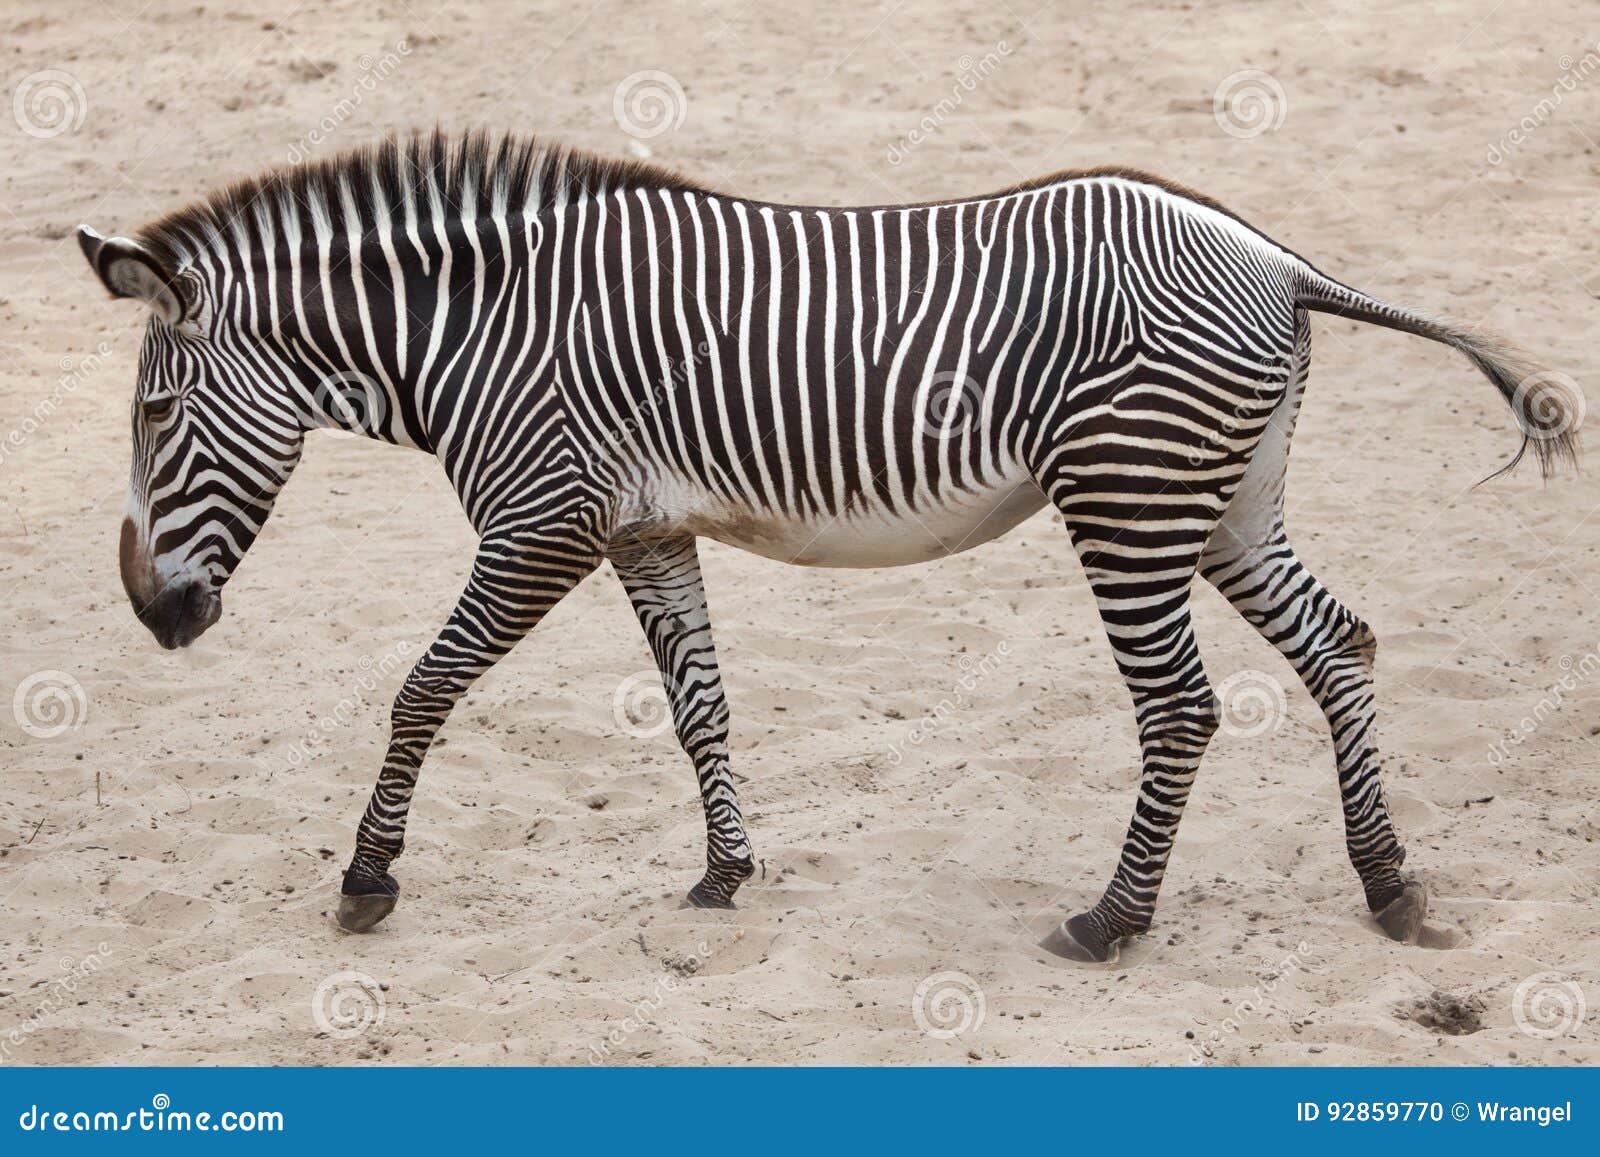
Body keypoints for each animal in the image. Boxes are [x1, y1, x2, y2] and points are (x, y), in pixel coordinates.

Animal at [78, 132, 1578, 964]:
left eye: (152, 414)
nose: (150, 615)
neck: (477, 333)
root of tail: (1278, 259)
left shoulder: (543, 521)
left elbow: (423, 688)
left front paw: (368, 880)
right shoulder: (643, 527)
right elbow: (698, 705)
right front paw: (724, 870)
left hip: (1129, 497)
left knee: (1182, 708)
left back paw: (1112, 922)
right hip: (1222, 501)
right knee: (1342, 643)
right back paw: (1388, 885)